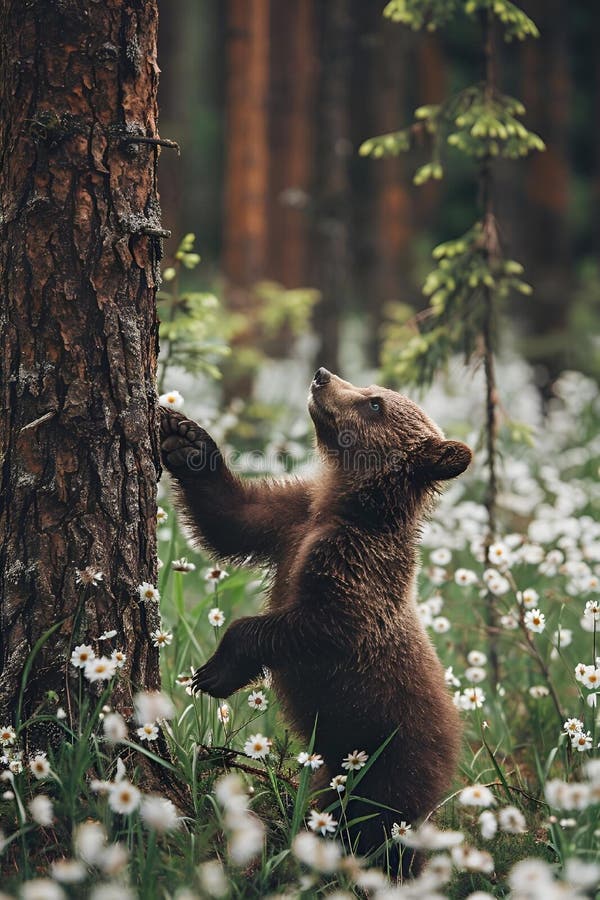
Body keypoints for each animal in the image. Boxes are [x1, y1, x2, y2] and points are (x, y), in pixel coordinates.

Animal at [159, 367, 471, 874]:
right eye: (371, 391)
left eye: (375, 404)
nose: (323, 377)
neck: (343, 505)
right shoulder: (292, 518)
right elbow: (232, 517)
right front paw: (185, 440)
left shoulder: (354, 571)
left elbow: (316, 626)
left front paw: (214, 672)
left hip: (394, 748)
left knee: (385, 820)